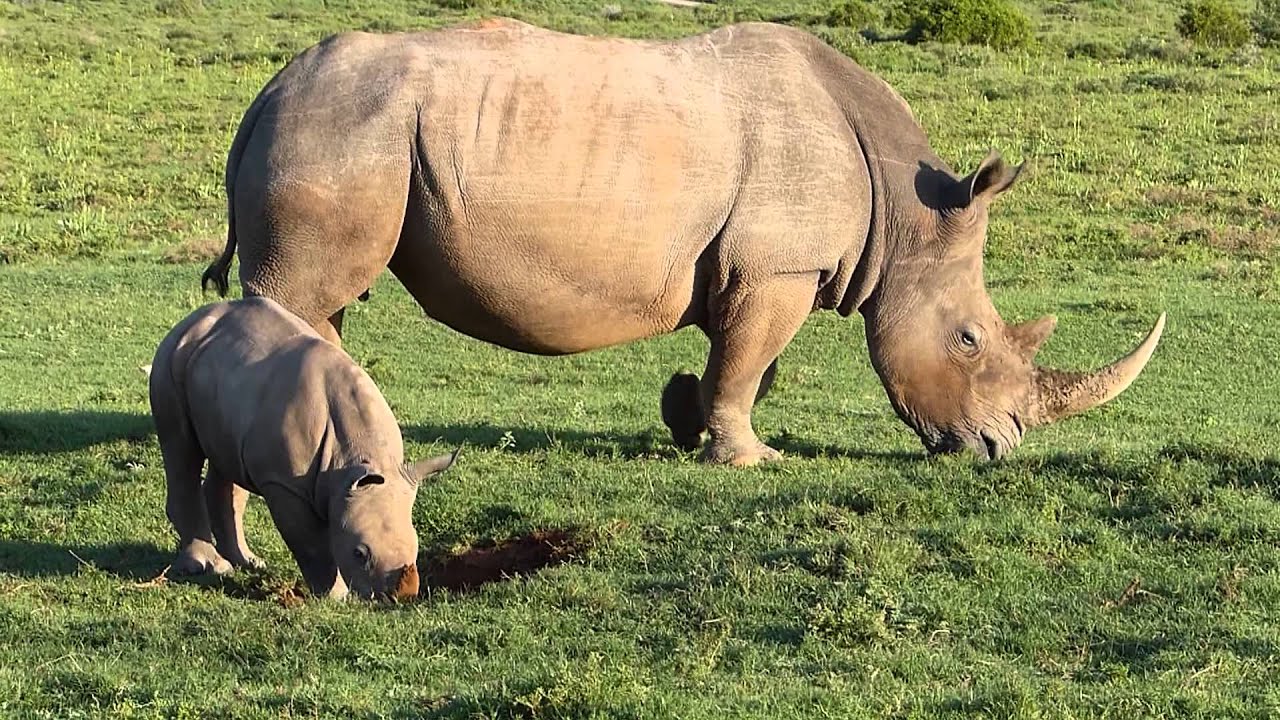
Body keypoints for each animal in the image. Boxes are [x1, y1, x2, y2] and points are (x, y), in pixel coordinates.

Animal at [148, 296, 458, 600]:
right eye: (359, 553)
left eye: (416, 545)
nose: (402, 595)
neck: (354, 456)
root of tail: (192, 319)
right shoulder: (284, 483)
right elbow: (311, 542)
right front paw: (335, 596)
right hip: (170, 358)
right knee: (180, 446)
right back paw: (210, 567)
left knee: (226, 460)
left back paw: (249, 562)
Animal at [202, 18, 1164, 465]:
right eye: (968, 340)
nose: (1000, 449)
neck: (904, 217)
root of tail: (266, 93)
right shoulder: (779, 264)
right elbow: (749, 359)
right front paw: (750, 458)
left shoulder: (761, 264)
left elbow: (745, 361)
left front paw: (684, 420)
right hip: (340, 131)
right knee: (304, 293)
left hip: (340, 129)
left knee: (319, 303)